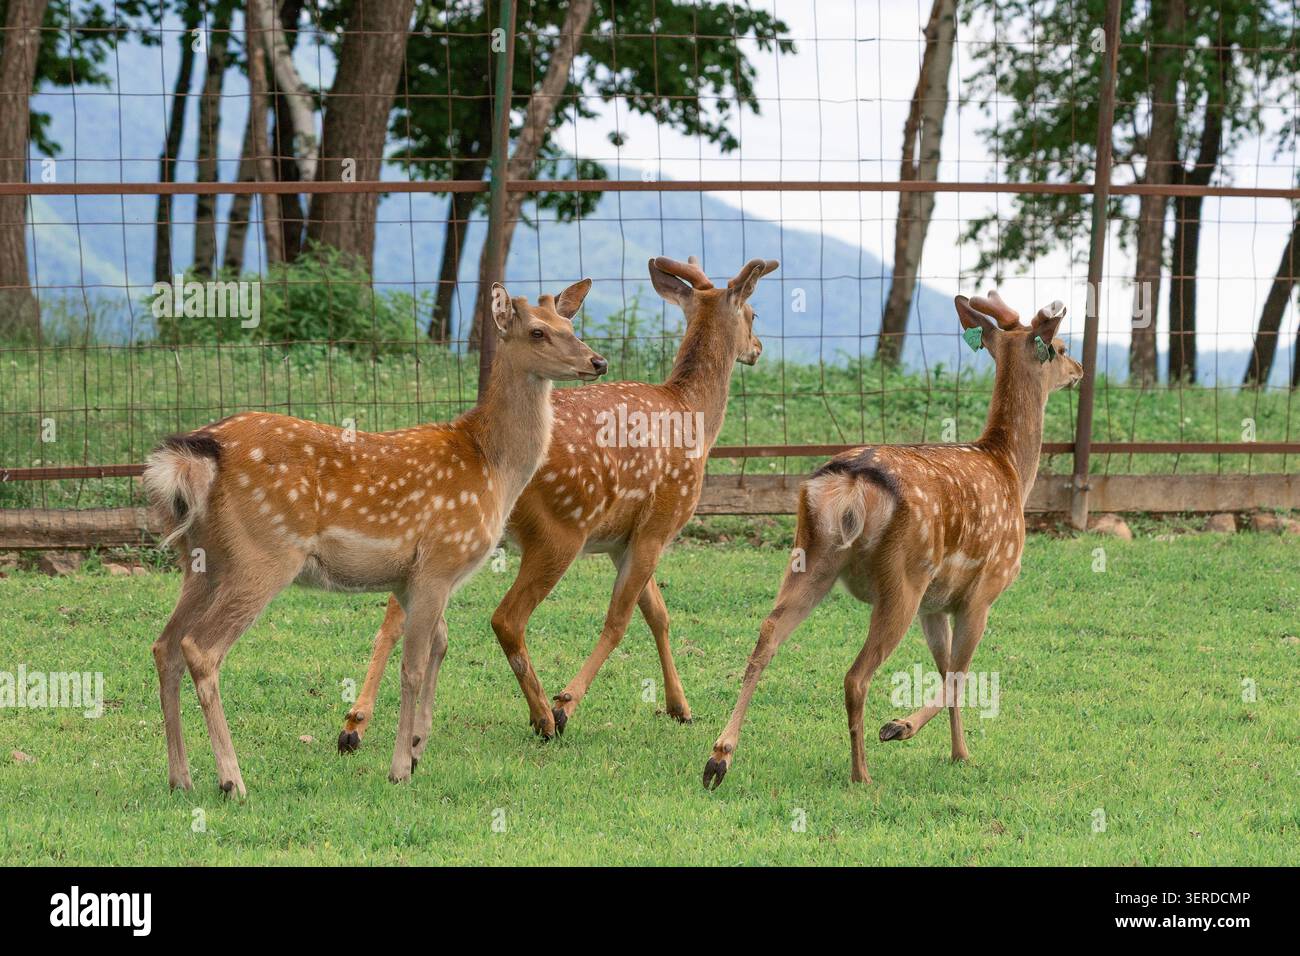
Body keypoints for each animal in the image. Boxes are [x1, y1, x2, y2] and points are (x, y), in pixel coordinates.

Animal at [142, 280, 606, 797]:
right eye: (538, 332)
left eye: (569, 324)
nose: (598, 361)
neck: (493, 467)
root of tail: (192, 459)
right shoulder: (439, 560)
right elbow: (414, 664)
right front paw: (400, 766)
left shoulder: (415, 577)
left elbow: (441, 645)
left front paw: (418, 748)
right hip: (261, 555)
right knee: (200, 649)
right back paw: (231, 780)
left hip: (199, 560)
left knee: (164, 645)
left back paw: (180, 778)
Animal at [335, 255, 778, 752]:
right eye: (754, 313)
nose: (758, 347)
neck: (694, 418)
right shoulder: (660, 522)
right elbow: (620, 619)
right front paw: (568, 702)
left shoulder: (622, 538)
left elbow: (658, 614)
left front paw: (680, 707)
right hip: (560, 529)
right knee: (507, 617)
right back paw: (544, 716)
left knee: (395, 614)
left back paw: (354, 723)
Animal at [702, 292, 1083, 790]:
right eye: (1058, 348)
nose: (1079, 369)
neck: (1011, 471)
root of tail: (849, 484)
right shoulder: (983, 592)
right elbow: (960, 675)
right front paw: (901, 727)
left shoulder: (936, 605)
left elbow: (946, 669)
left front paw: (960, 754)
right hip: (902, 576)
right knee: (855, 675)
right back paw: (861, 772)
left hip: (810, 557)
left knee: (766, 636)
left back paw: (719, 758)